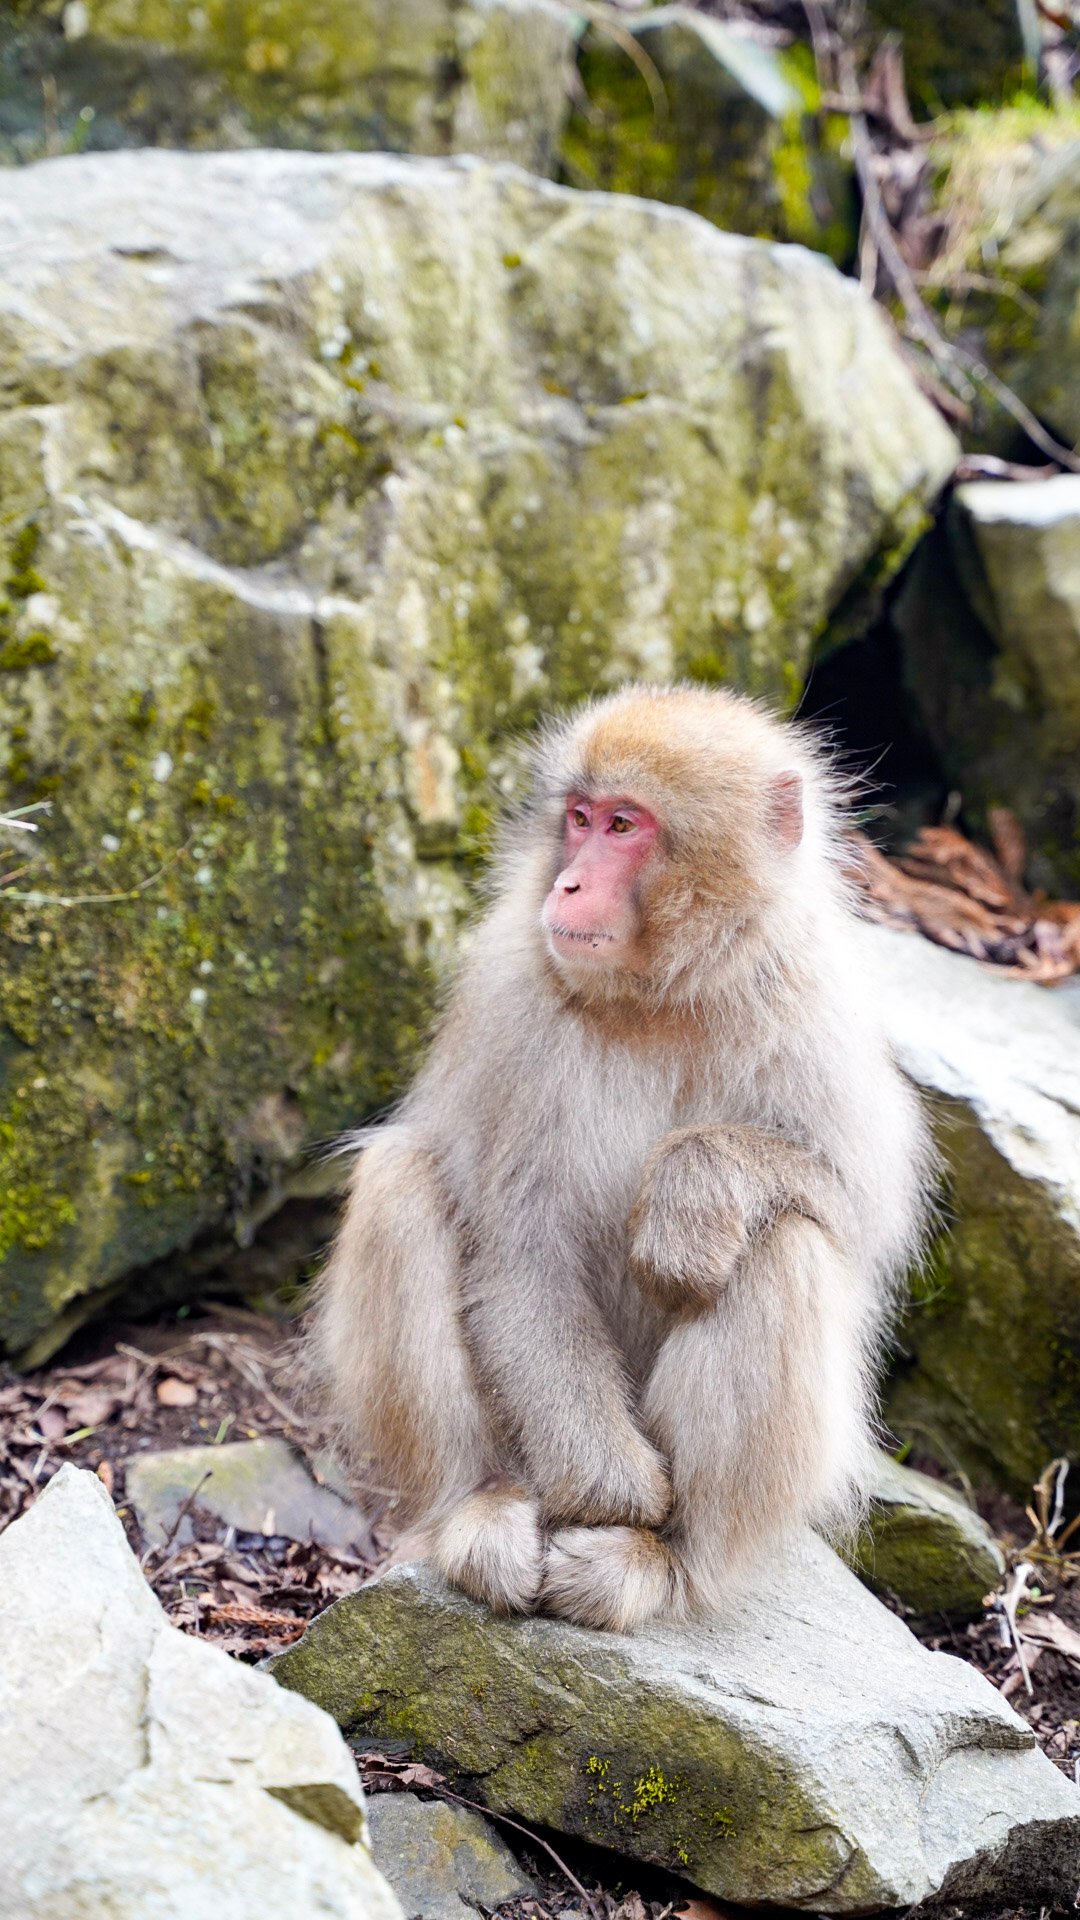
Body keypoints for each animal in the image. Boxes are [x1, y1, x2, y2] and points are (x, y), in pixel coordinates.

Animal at [308, 684, 933, 1632]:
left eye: (625, 825)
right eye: (578, 818)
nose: (568, 882)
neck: (659, 998)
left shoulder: (808, 992)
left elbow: (864, 1205)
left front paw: (695, 1183)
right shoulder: (510, 996)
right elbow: (519, 1254)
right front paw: (610, 1485)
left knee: (784, 1243)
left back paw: (667, 1564)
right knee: (401, 1182)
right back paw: (478, 1510)